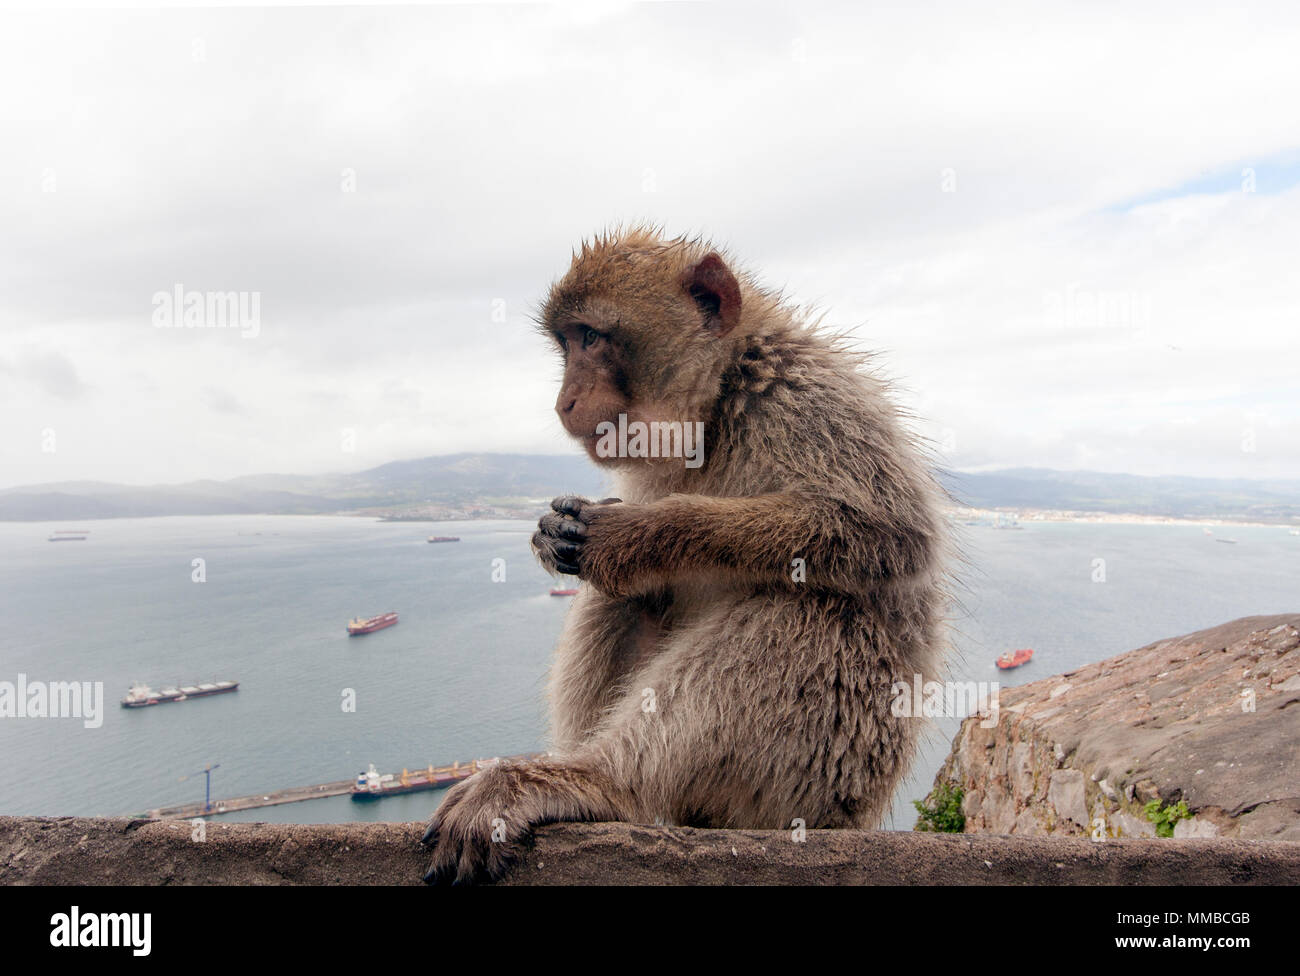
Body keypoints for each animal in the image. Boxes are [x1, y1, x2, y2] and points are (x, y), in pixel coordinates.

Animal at [421, 226, 950, 884]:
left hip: (825, 775)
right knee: (617, 599)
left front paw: (636, 535)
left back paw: (601, 784)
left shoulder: (802, 396)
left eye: (590, 337)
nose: (564, 402)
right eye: (567, 343)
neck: (714, 408)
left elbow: (887, 535)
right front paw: (555, 531)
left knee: (818, 610)